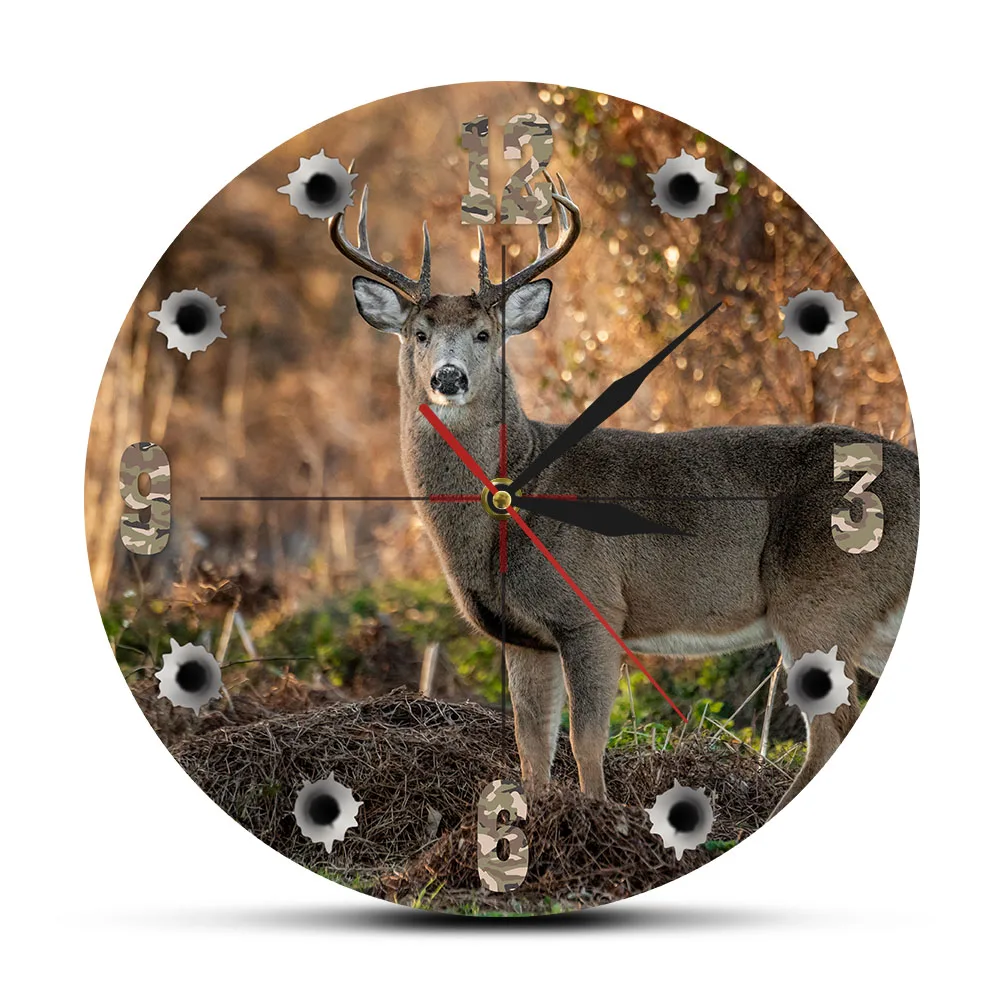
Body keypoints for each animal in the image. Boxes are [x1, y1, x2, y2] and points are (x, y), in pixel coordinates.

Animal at [328, 176, 919, 816]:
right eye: (419, 334)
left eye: (486, 334)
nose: (449, 377)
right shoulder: (525, 636)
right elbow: (531, 747)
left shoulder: (593, 608)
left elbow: (585, 741)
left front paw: (599, 817)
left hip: (819, 602)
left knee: (830, 731)